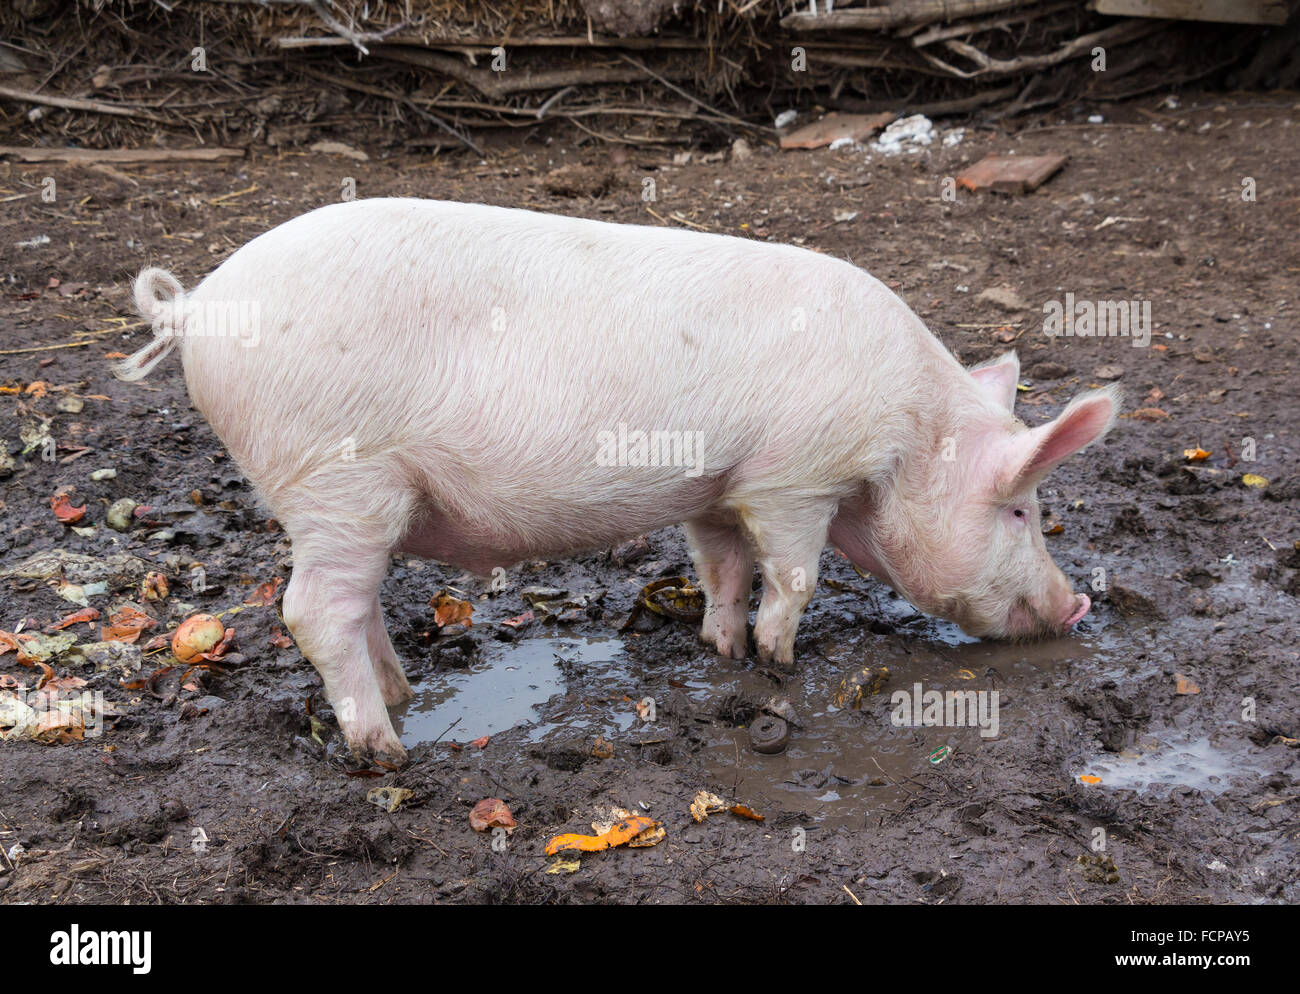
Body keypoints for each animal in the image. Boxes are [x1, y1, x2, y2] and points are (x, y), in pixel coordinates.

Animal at [115, 198, 1118, 764]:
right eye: (1021, 508)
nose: (1076, 606)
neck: (906, 435)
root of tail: (196, 305)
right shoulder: (795, 477)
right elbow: (793, 574)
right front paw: (780, 665)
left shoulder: (716, 487)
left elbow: (723, 568)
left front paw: (721, 651)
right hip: (336, 476)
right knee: (312, 610)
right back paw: (385, 750)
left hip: (345, 499)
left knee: (352, 607)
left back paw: (401, 698)